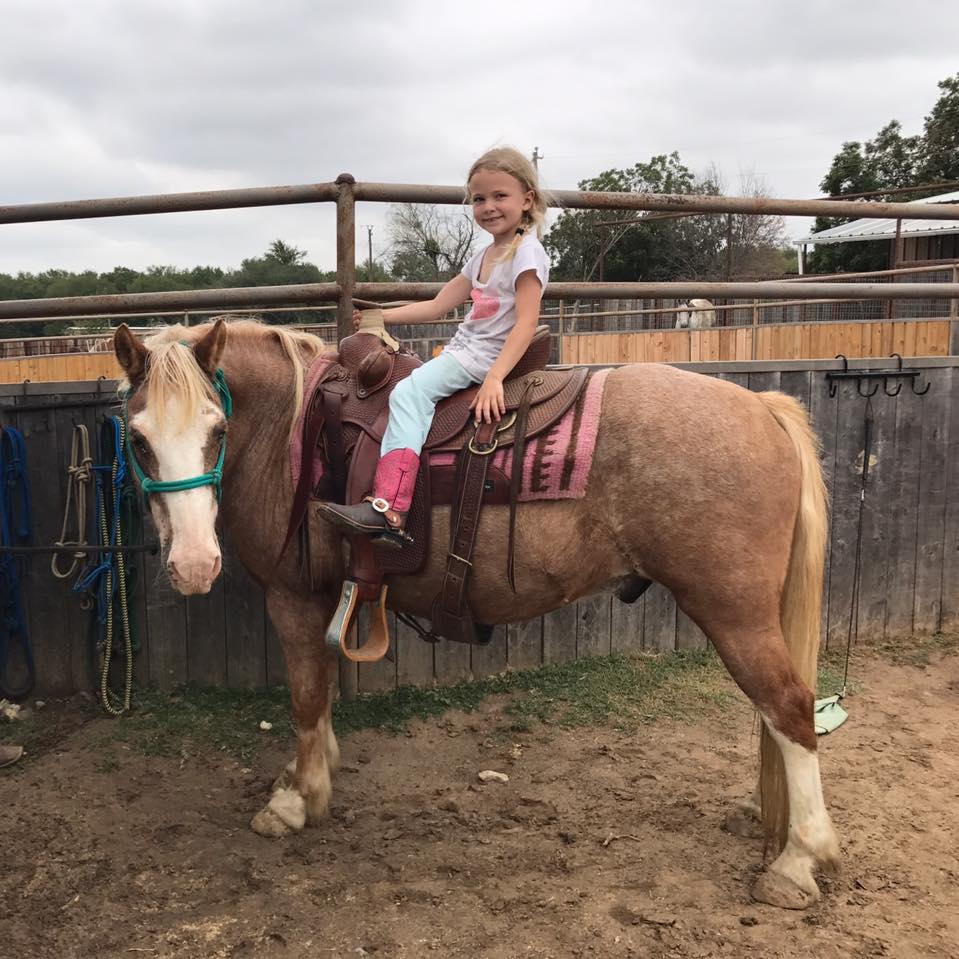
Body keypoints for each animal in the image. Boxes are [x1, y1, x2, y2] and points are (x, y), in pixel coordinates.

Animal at [113, 316, 840, 909]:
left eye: (217, 429)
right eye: (138, 440)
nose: (195, 564)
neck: (290, 433)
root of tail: (761, 407)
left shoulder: (293, 598)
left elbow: (305, 696)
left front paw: (296, 800)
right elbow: (321, 695)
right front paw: (311, 771)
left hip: (734, 614)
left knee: (789, 708)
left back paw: (797, 861)